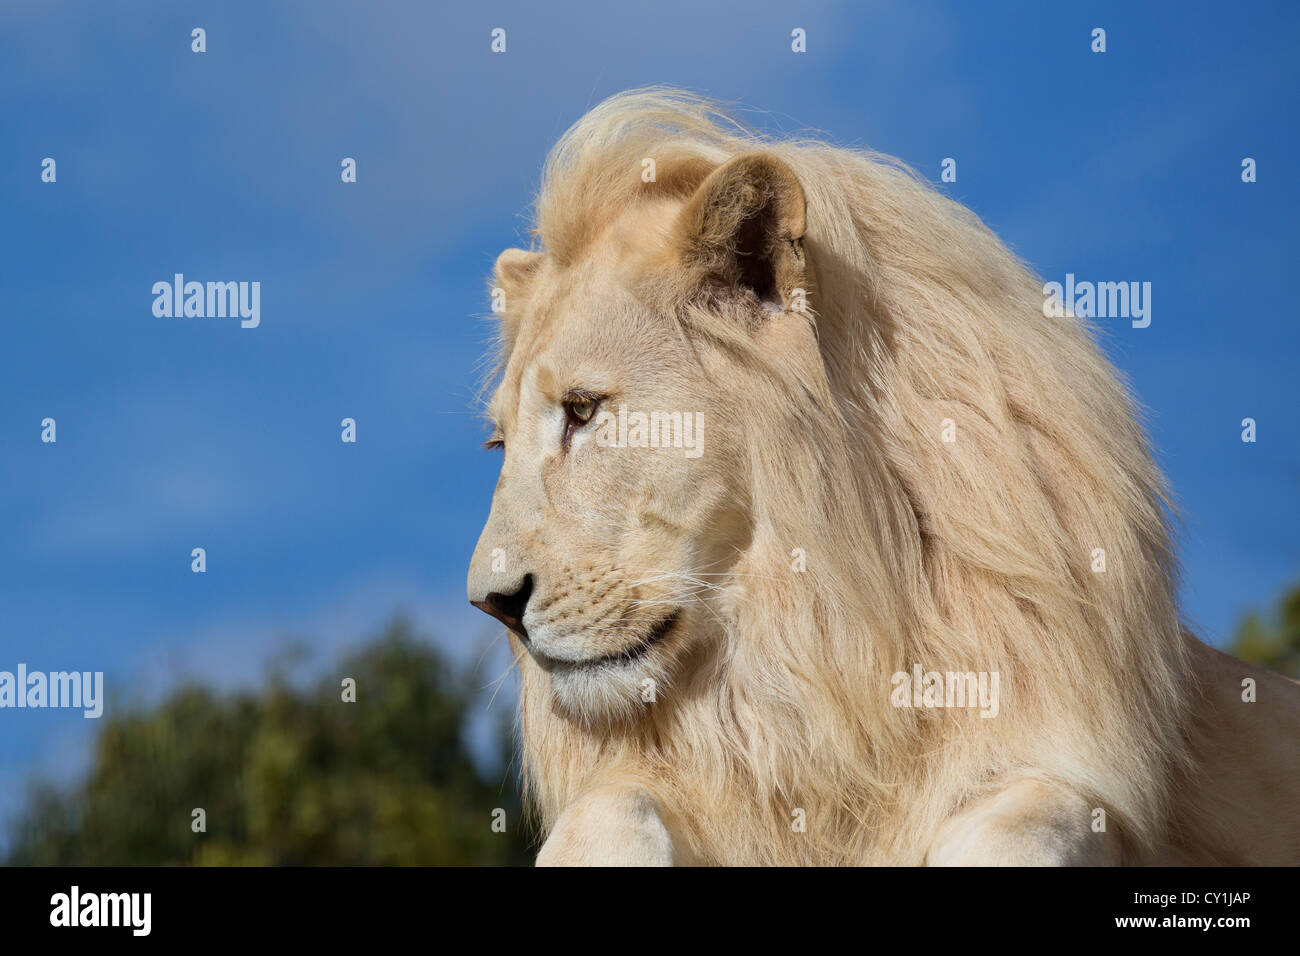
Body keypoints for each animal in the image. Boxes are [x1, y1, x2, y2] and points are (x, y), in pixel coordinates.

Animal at [467, 88, 1300, 865]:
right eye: (499, 442)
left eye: (582, 410)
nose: (492, 605)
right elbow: (602, 813)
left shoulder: (1077, 775)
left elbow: (1020, 819)